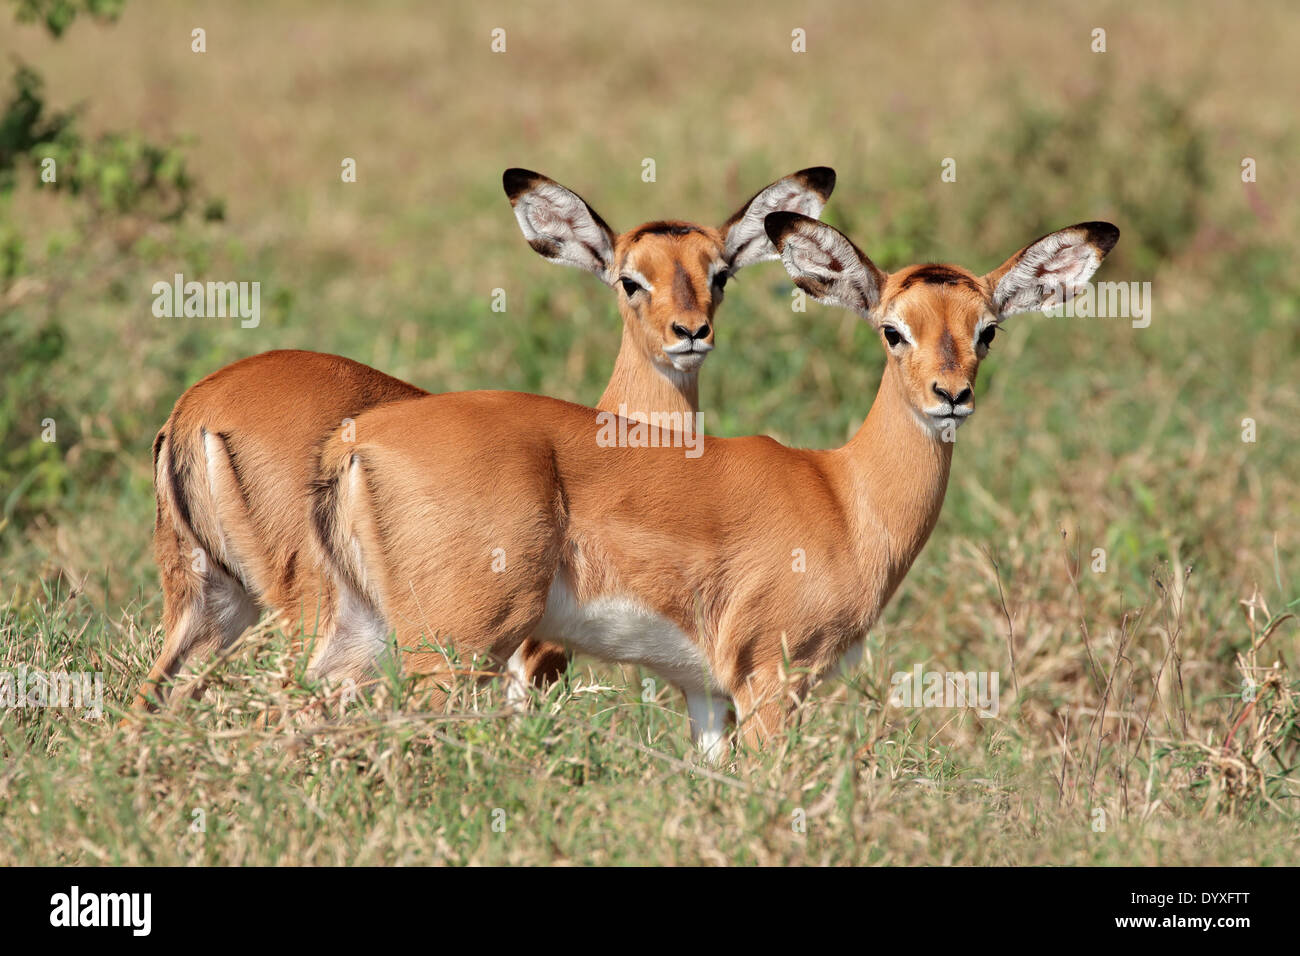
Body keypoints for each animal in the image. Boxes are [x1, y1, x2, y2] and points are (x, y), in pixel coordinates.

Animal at [131, 167, 836, 713]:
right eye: (629, 279)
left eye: (719, 274)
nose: (689, 333)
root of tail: (196, 408)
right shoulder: (534, 654)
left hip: (212, 605)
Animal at [306, 213, 1118, 759]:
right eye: (894, 330)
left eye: (986, 330)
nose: (951, 395)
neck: (845, 495)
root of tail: (358, 439)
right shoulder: (771, 677)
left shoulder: (706, 692)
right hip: (453, 647)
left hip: (360, 632)